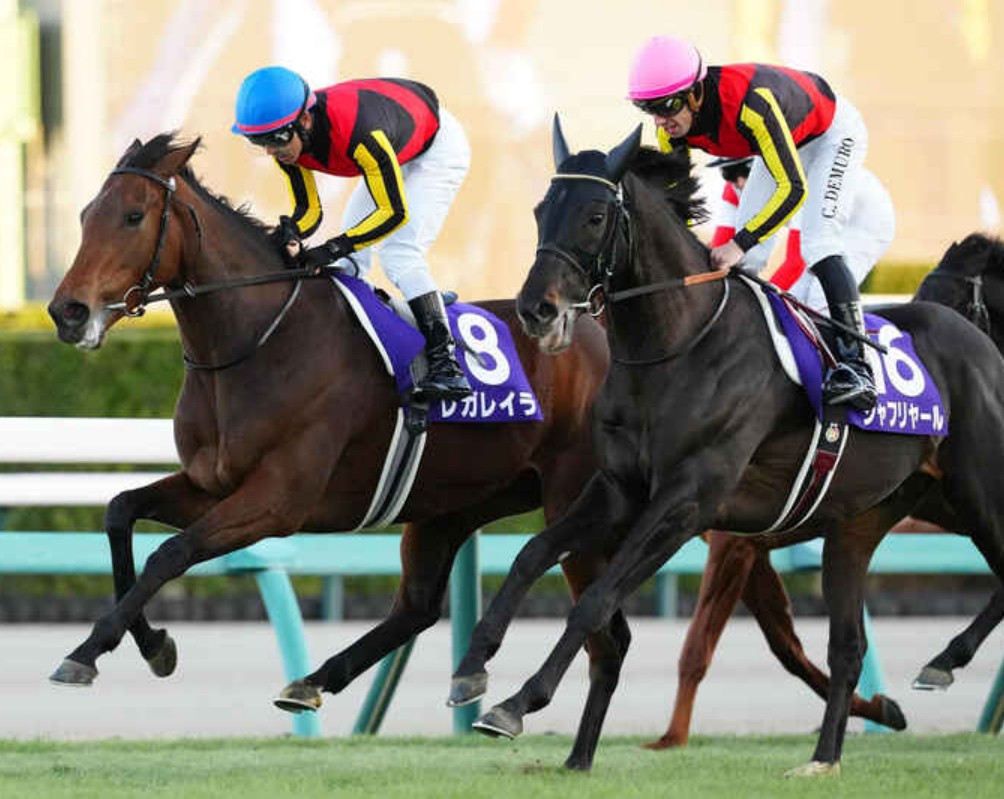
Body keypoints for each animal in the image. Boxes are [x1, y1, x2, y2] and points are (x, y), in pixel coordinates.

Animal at [45, 133, 628, 718]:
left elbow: (171, 552)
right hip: (457, 502)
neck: (259, 342)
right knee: (417, 607)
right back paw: (323, 680)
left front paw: (91, 649)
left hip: (572, 498)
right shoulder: (212, 485)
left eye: (133, 216)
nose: (67, 312)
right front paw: (149, 643)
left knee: (607, 634)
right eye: (85, 214)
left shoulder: (279, 501)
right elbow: (120, 511)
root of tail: (597, 324)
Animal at [650, 232, 1004, 750]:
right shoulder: (740, 541)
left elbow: (711, 646)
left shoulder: (732, 541)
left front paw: (670, 738)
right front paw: (878, 709)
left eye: (959, 301)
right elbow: (786, 646)